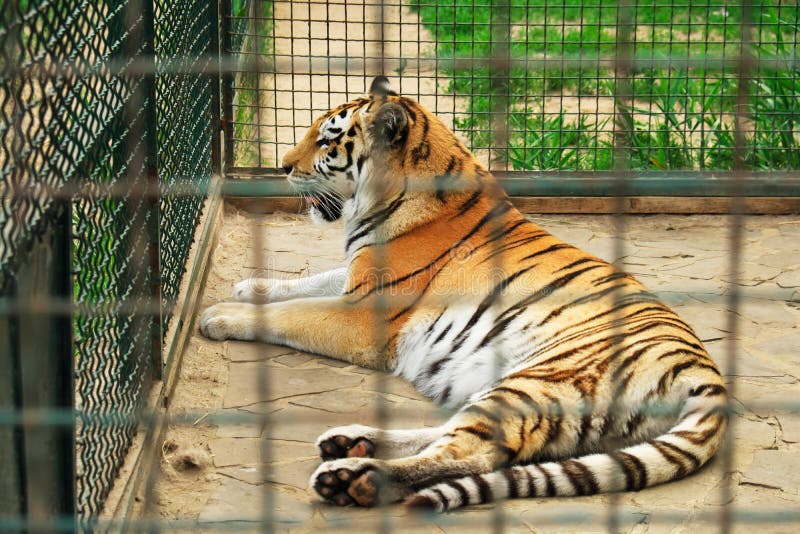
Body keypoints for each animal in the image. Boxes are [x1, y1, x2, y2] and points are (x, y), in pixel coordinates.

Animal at [200, 76, 727, 511]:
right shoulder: (358, 279)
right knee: (459, 436)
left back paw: (352, 476)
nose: (283, 166)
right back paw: (350, 442)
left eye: (328, 139)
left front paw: (219, 315)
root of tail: (704, 373)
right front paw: (249, 286)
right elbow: (310, 281)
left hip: (538, 380)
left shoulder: (364, 315)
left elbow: (295, 312)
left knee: (472, 451)